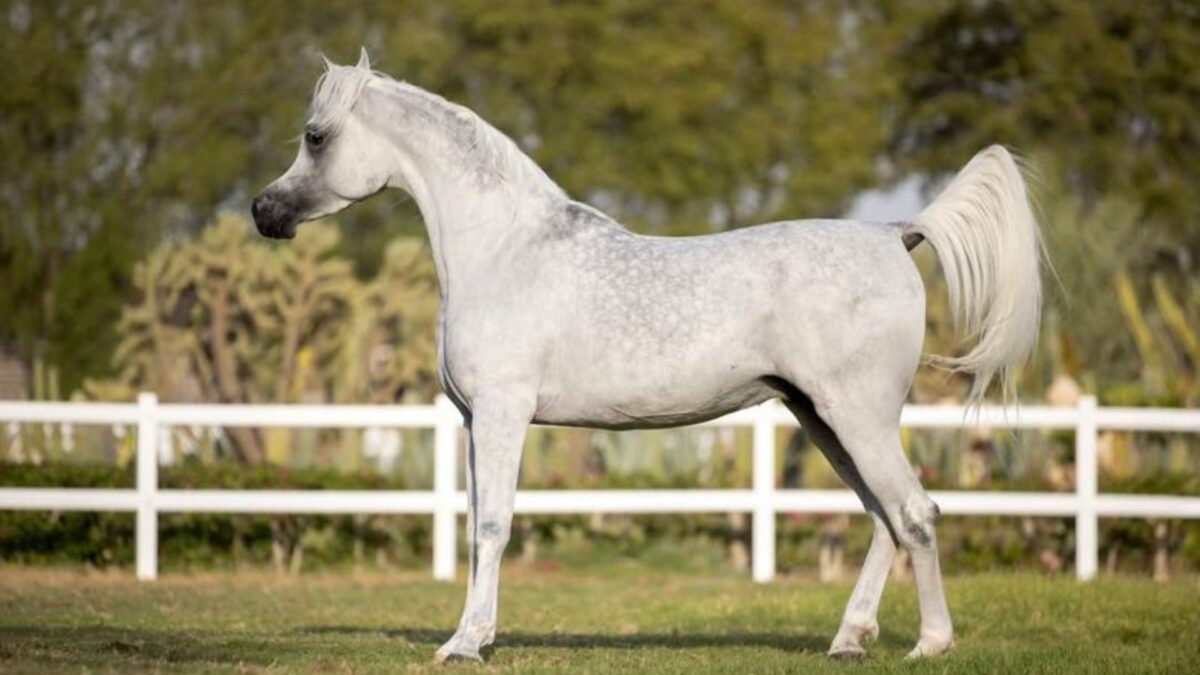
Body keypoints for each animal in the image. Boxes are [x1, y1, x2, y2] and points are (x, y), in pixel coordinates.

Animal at [252, 50, 1044, 662]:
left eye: (316, 137)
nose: (263, 212)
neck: (505, 249)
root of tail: (893, 233)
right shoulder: (478, 423)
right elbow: (479, 525)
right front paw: (478, 633)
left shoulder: (503, 415)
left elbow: (493, 524)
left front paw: (465, 644)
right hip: (820, 417)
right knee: (883, 517)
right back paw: (849, 638)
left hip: (859, 415)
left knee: (915, 511)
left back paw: (930, 643)